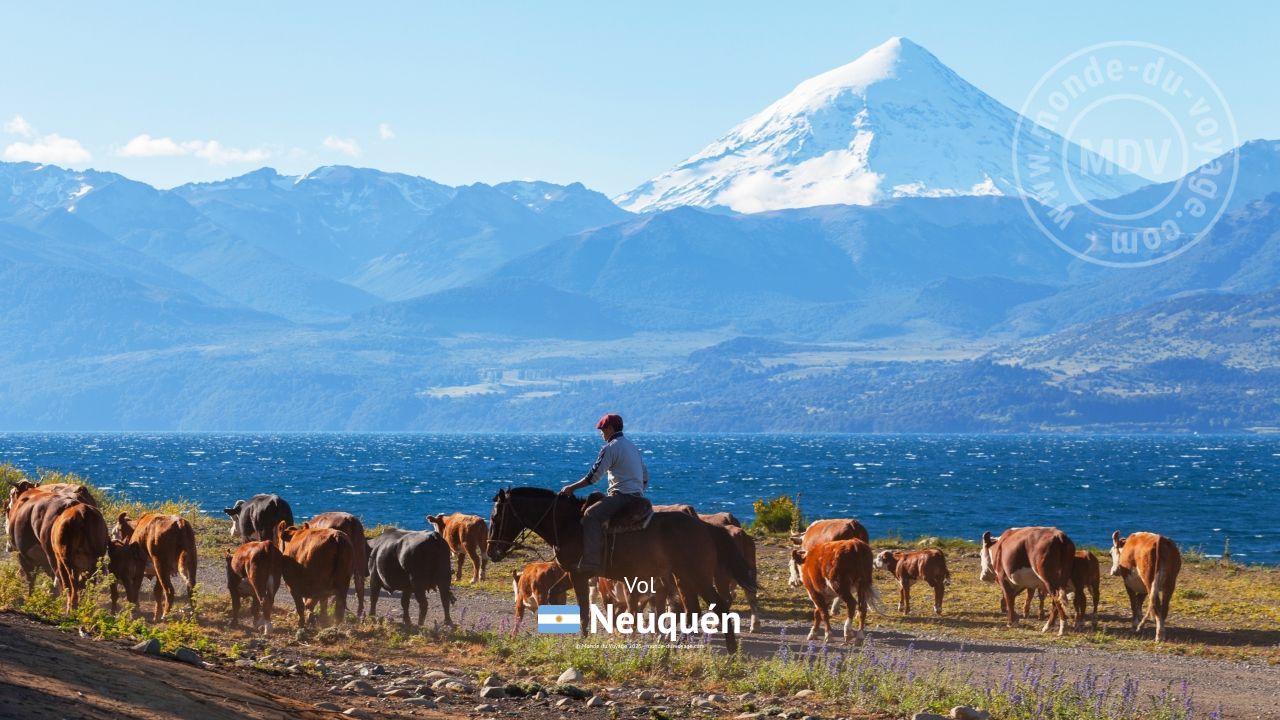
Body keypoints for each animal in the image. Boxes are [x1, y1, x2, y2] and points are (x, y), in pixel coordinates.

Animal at [483, 486, 752, 650]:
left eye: (496, 517)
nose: (491, 551)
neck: (568, 525)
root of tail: (705, 527)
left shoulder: (579, 574)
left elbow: (584, 611)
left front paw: (582, 642)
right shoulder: (573, 574)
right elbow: (553, 596)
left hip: (697, 576)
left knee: (719, 607)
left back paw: (730, 652)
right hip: (684, 577)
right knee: (694, 609)